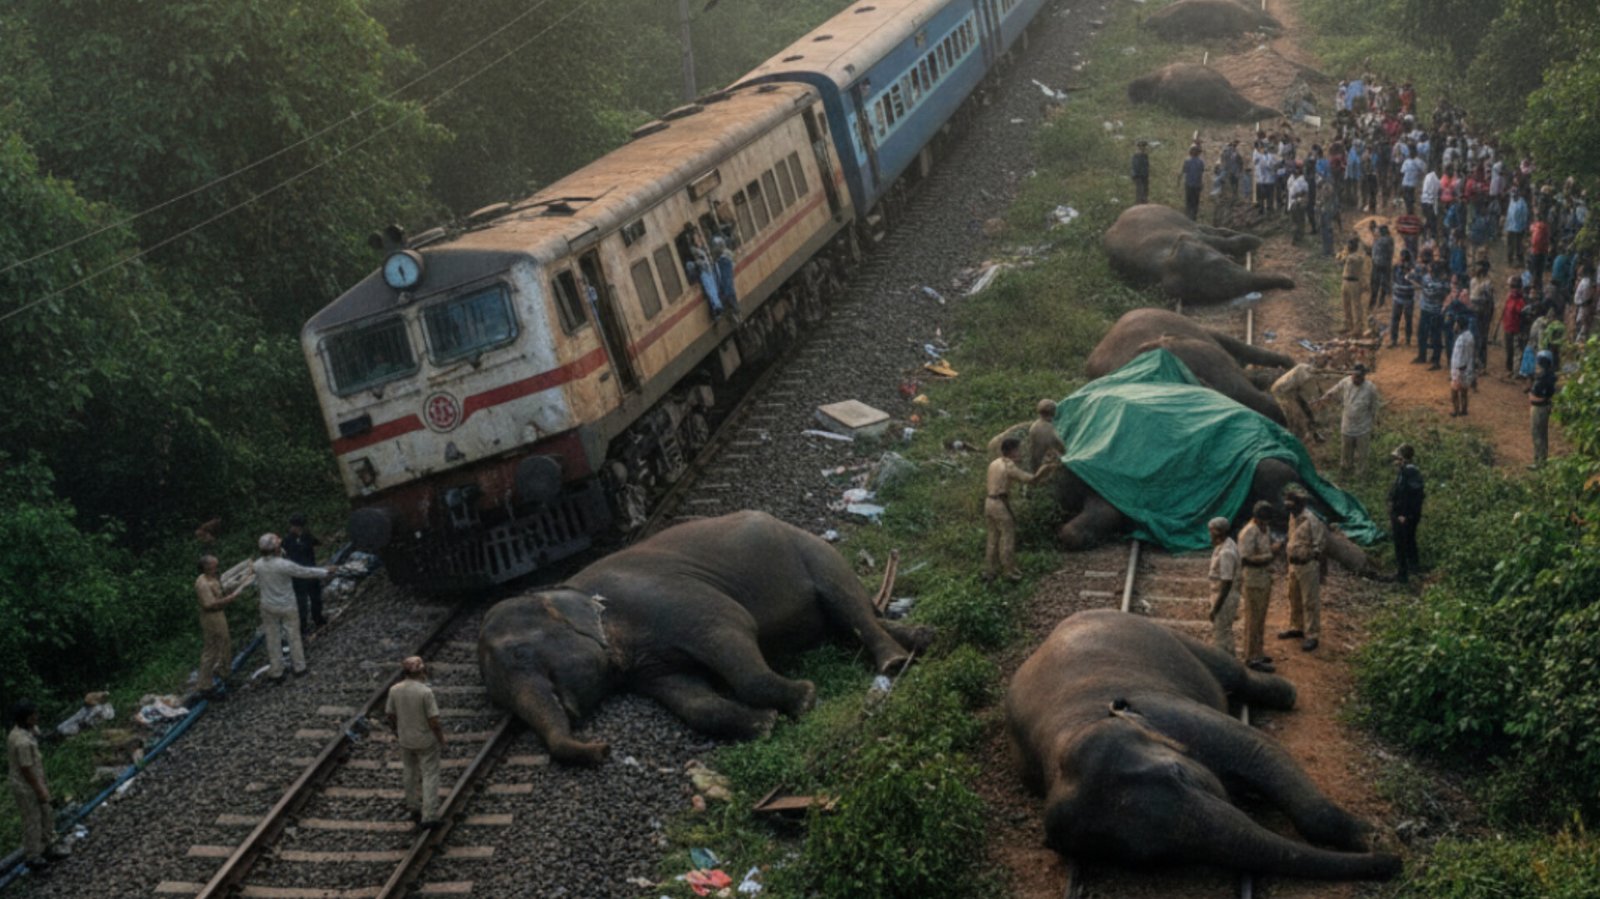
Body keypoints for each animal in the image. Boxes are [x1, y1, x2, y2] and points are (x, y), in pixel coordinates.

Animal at [477, 510, 932, 764]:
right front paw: (763, 725)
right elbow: (690, 698)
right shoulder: (648, 665)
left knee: (849, 603)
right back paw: (922, 638)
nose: (603, 749)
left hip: (813, 550)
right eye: (499, 701)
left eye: (520, 654)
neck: (569, 588)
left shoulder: (672, 599)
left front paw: (803, 699)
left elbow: (732, 630)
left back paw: (894, 662)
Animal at [1006, 610, 1402, 881]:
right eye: (1154, 858)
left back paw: (1287, 695)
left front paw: (1370, 836)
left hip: (1162, 634)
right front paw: (1374, 840)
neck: (1072, 733)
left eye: (1178, 773)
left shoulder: (1170, 711)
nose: (1393, 862)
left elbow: (1257, 748)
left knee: (1231, 672)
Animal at [1104, 204, 1295, 304]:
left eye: (1219, 262)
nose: (1290, 284)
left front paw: (1256, 240)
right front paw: (1256, 241)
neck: (1165, 262)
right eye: (1201, 293)